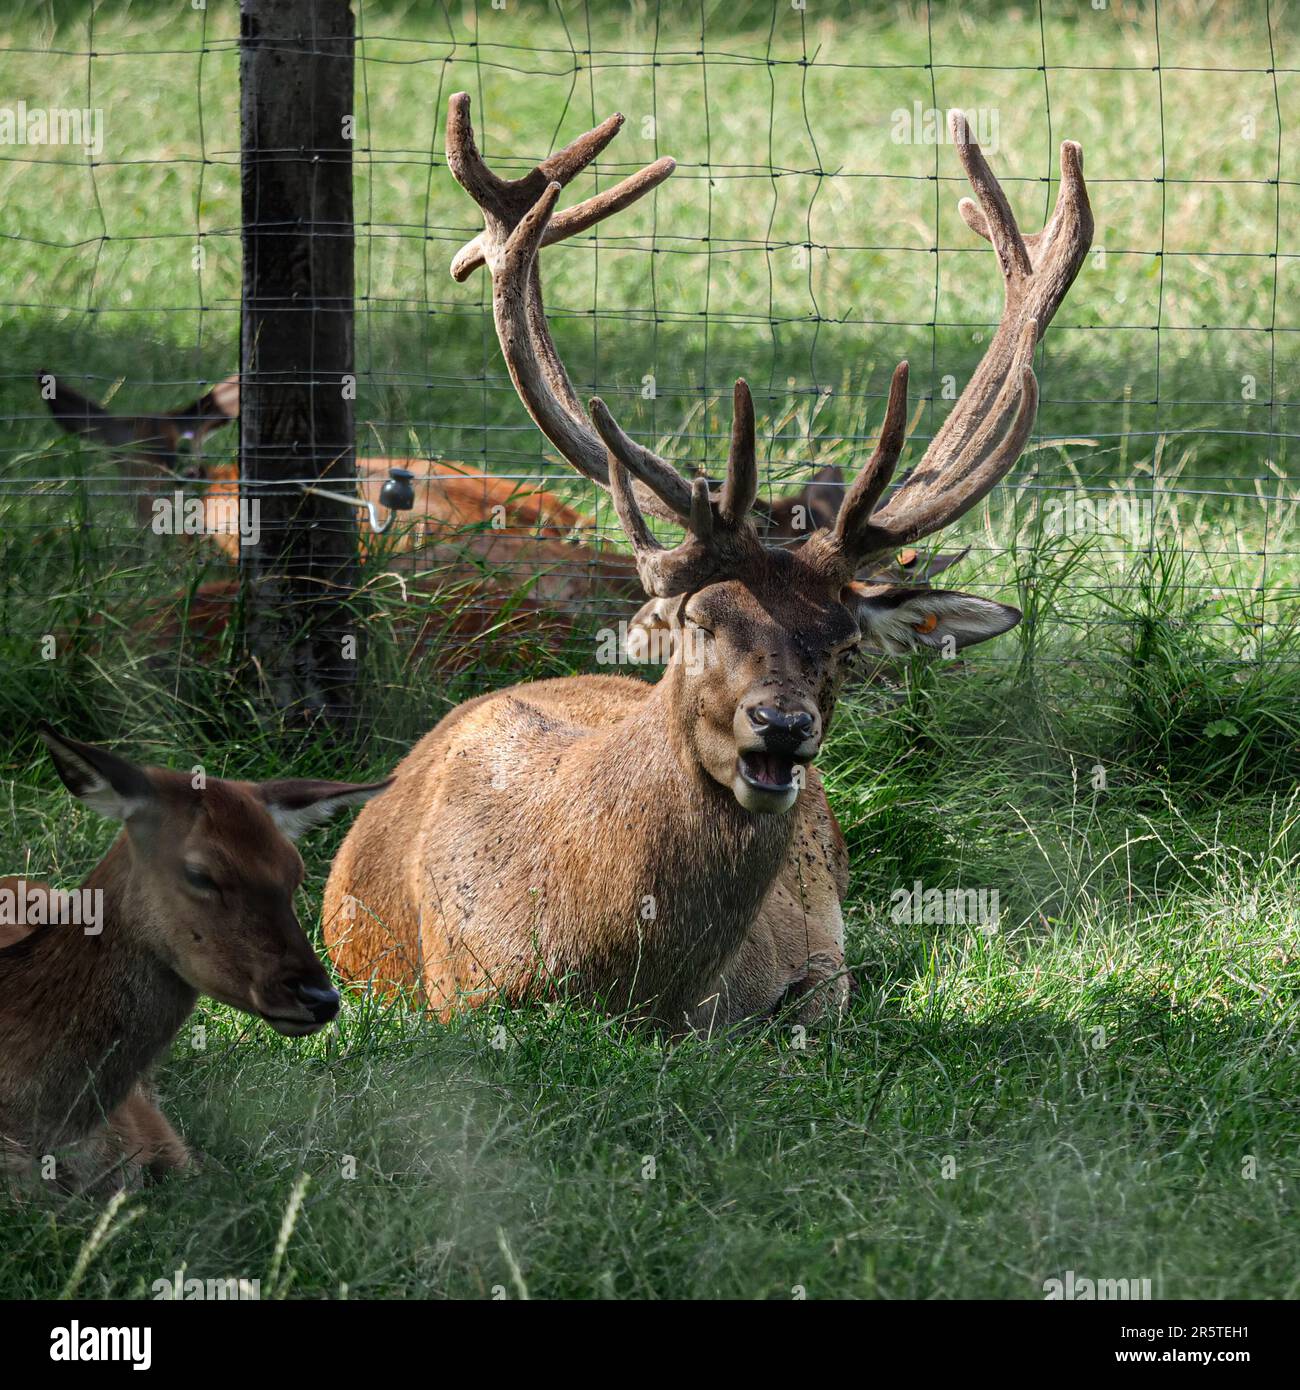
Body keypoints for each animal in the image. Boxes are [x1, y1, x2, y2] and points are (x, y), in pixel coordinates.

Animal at [319, 100, 1092, 1034]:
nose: (783, 726)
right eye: (701, 622)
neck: (624, 982)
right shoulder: (453, 993)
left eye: (846, 646)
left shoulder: (816, 968)